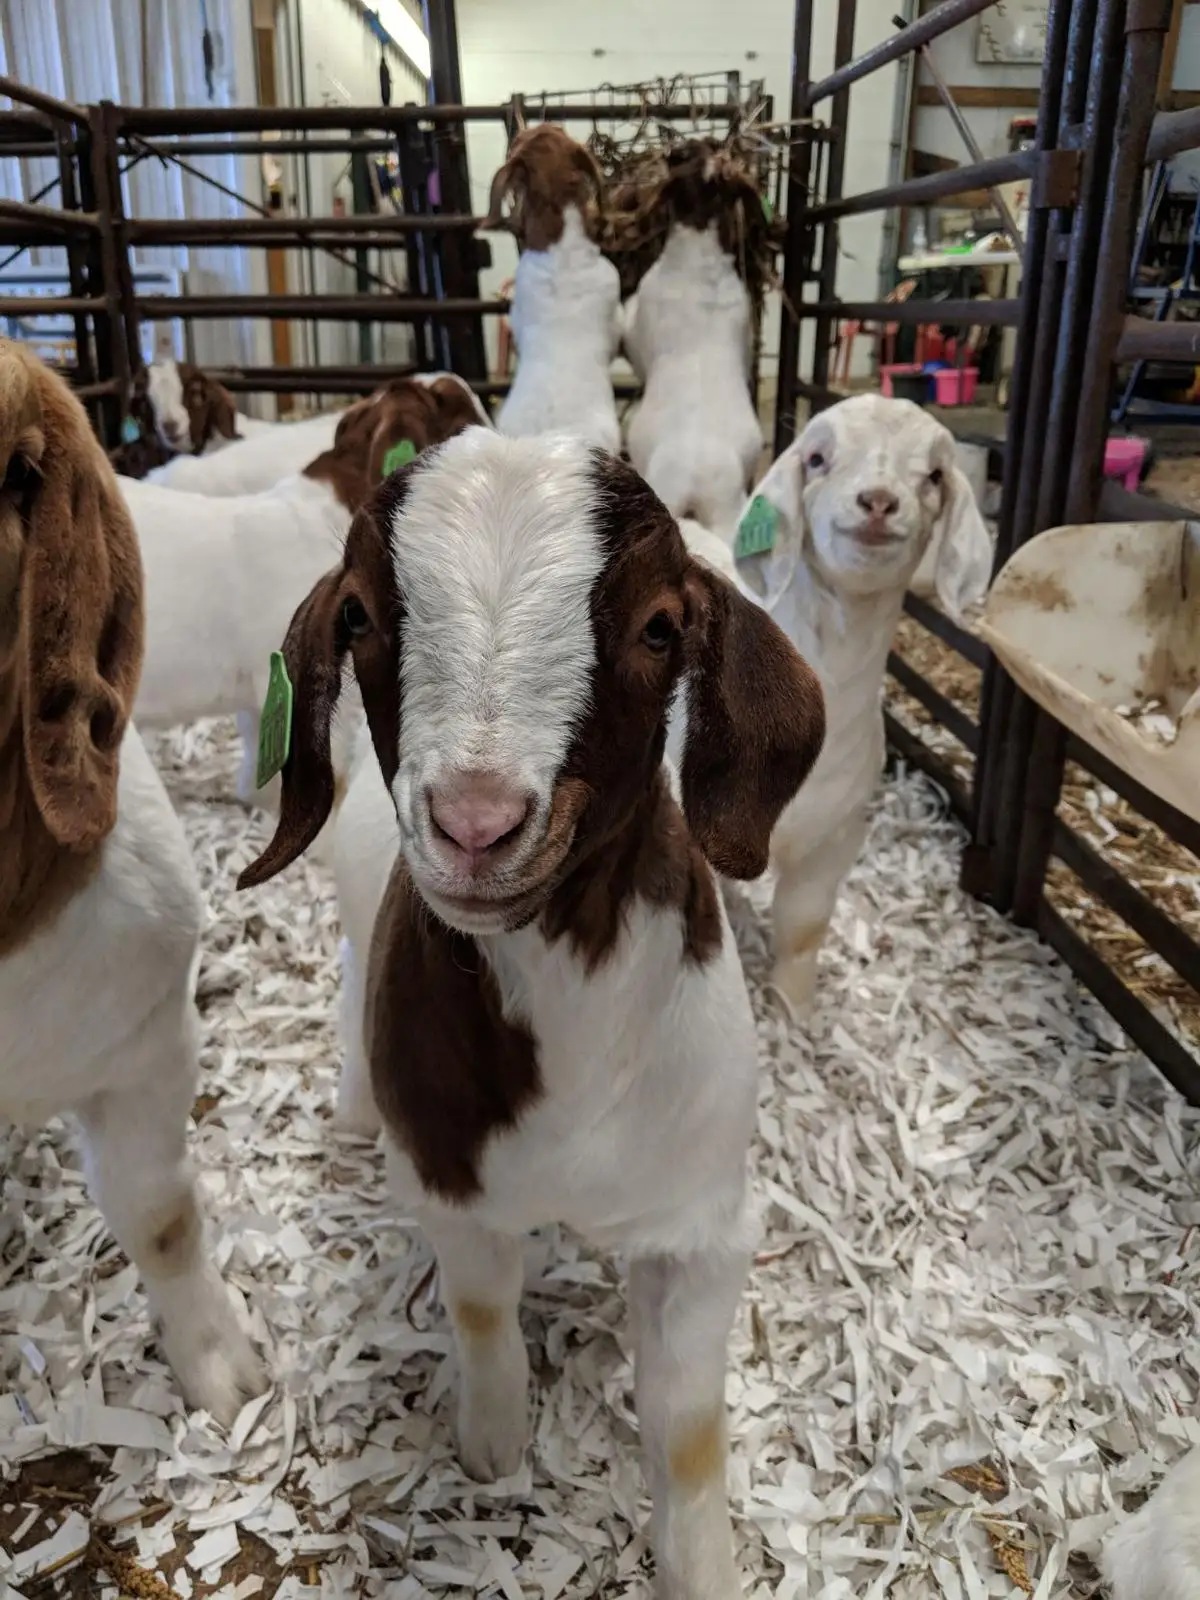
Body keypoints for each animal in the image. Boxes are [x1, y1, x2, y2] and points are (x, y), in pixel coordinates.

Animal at [237, 430, 825, 1600]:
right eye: (360, 614)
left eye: (659, 626)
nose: (474, 824)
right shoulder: (452, 1186)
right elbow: (480, 1312)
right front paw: (493, 1444)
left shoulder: (703, 1219)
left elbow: (689, 1430)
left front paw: (702, 1567)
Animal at [721, 393, 993, 1014]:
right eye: (817, 458)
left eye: (935, 476)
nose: (878, 501)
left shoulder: (836, 837)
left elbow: (805, 924)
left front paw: (794, 1010)